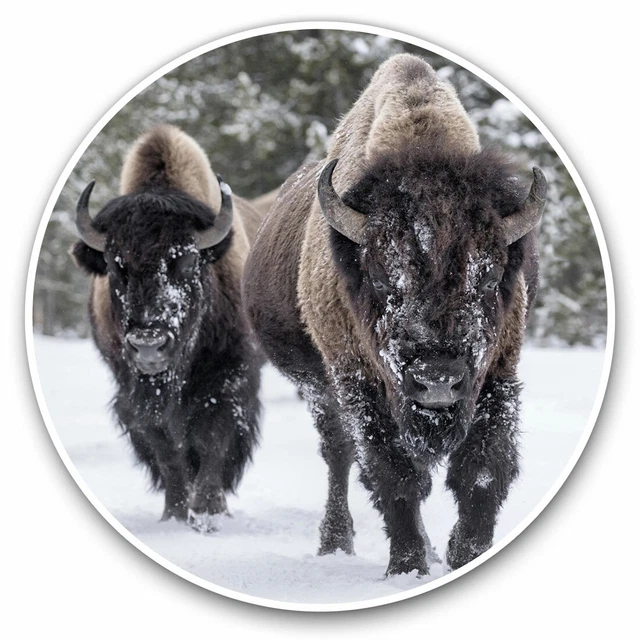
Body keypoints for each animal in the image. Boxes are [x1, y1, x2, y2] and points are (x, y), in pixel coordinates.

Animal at [72, 124, 262, 531]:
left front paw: (209, 512)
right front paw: (174, 514)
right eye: (115, 264)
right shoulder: (132, 393)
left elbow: (212, 439)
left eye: (187, 260)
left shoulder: (230, 379)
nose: (148, 344)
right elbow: (167, 448)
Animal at [243, 54, 546, 575]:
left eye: (489, 276)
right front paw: (406, 567)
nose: (437, 379)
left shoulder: (496, 375)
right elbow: (393, 474)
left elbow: (482, 472)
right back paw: (335, 542)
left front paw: (463, 554)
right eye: (384, 276)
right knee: (339, 454)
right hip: (318, 386)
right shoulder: (359, 383)